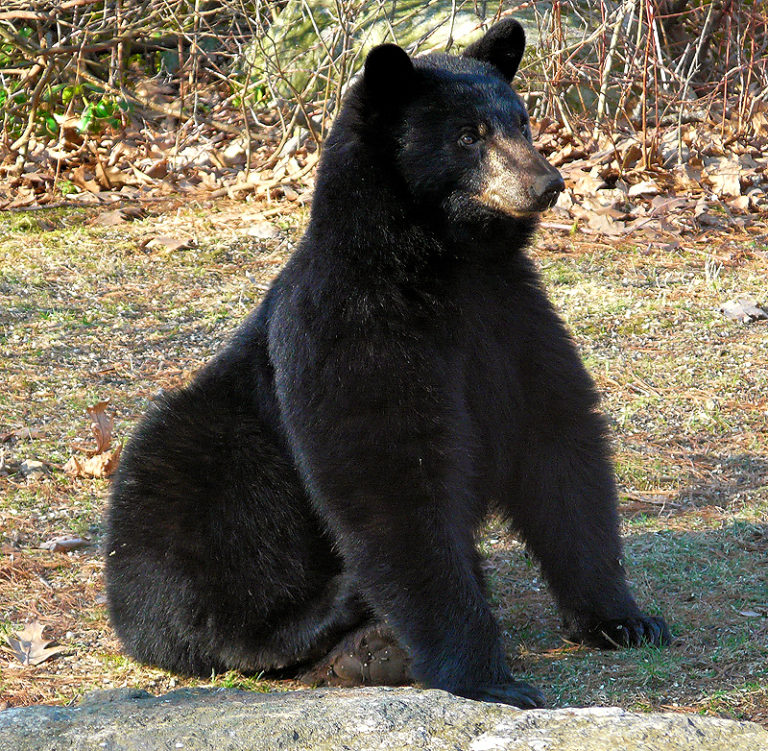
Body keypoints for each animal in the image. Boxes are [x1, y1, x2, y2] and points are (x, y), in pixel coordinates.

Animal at [105, 18, 671, 709]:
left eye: (521, 121)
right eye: (467, 134)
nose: (547, 184)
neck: (444, 263)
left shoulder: (511, 318)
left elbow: (559, 445)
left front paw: (622, 618)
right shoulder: (350, 325)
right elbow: (389, 471)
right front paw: (485, 675)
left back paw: (373, 649)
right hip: (202, 457)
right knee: (220, 551)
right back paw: (334, 617)